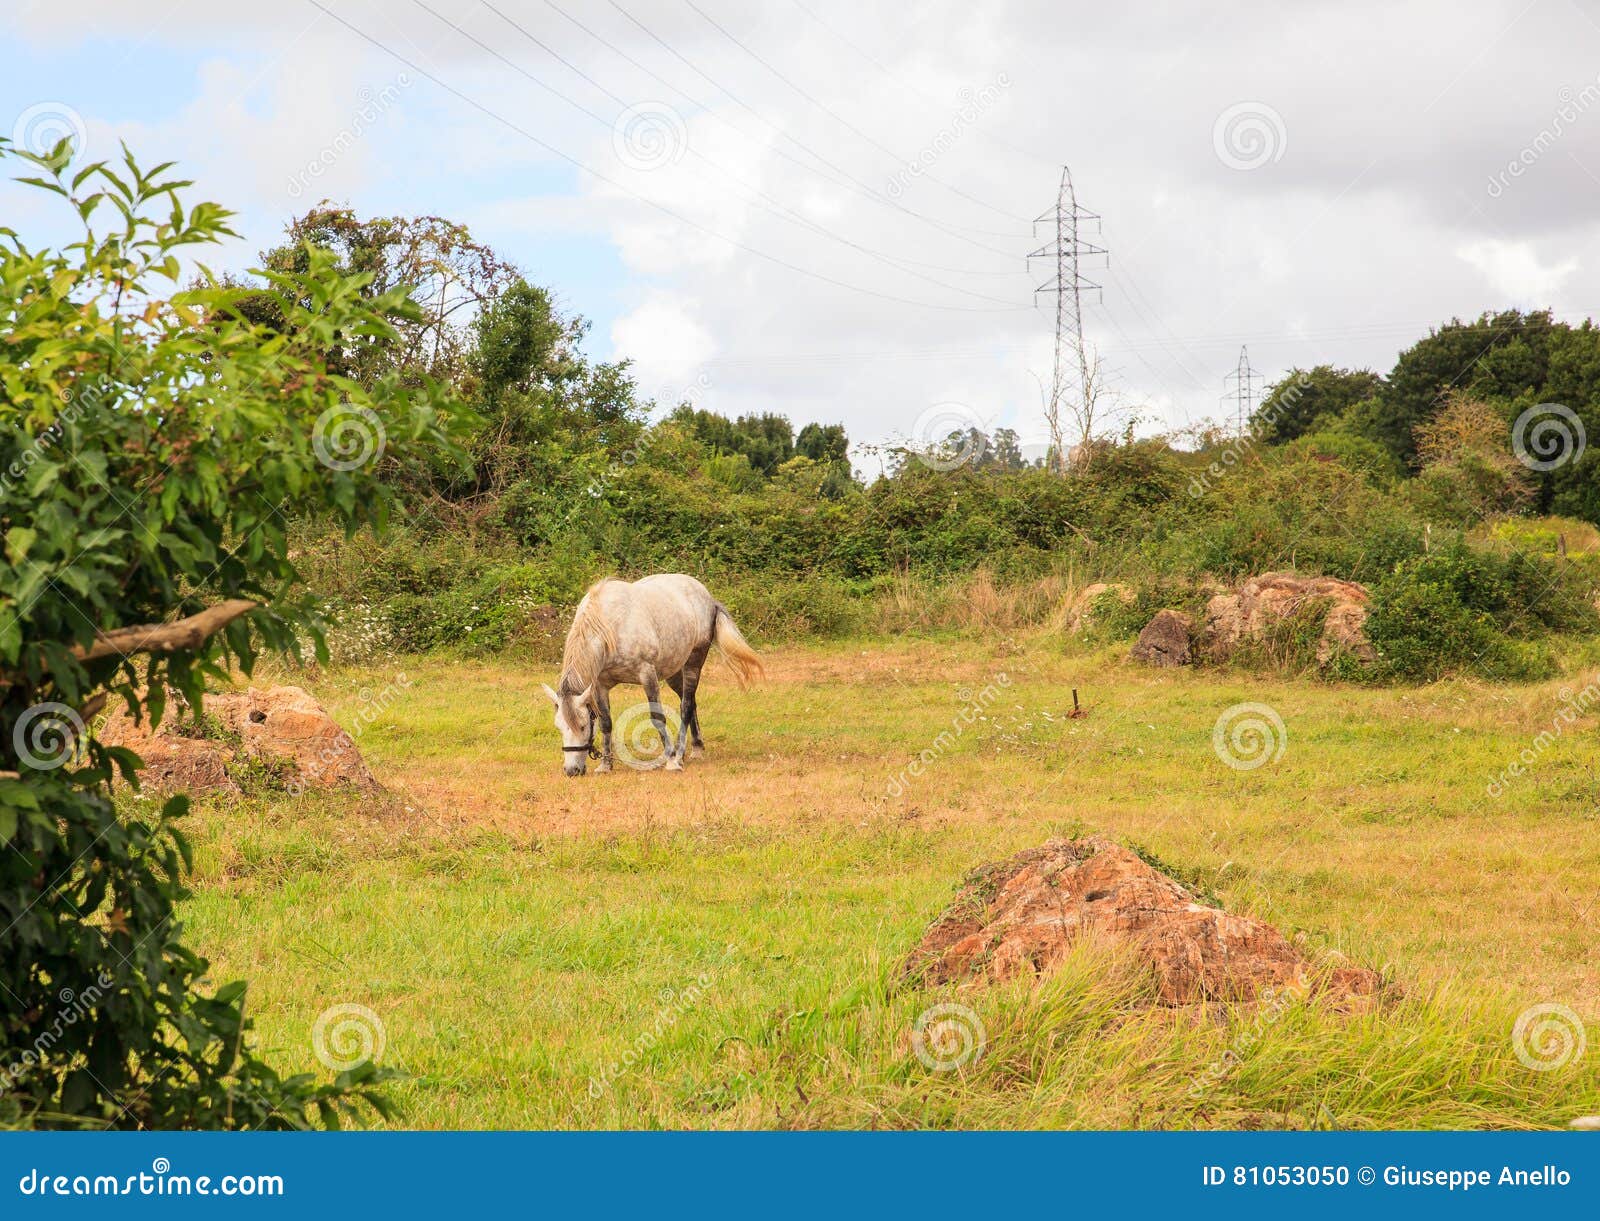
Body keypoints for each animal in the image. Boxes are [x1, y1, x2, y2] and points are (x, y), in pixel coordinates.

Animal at [542, 575, 763, 776]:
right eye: (558, 727)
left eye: (582, 726)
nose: (572, 770)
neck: (610, 626)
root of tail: (707, 596)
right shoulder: (600, 685)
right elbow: (606, 723)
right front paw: (605, 765)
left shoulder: (647, 674)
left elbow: (657, 717)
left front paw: (671, 761)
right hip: (674, 672)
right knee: (690, 702)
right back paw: (696, 748)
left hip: (693, 663)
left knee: (686, 706)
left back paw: (680, 753)